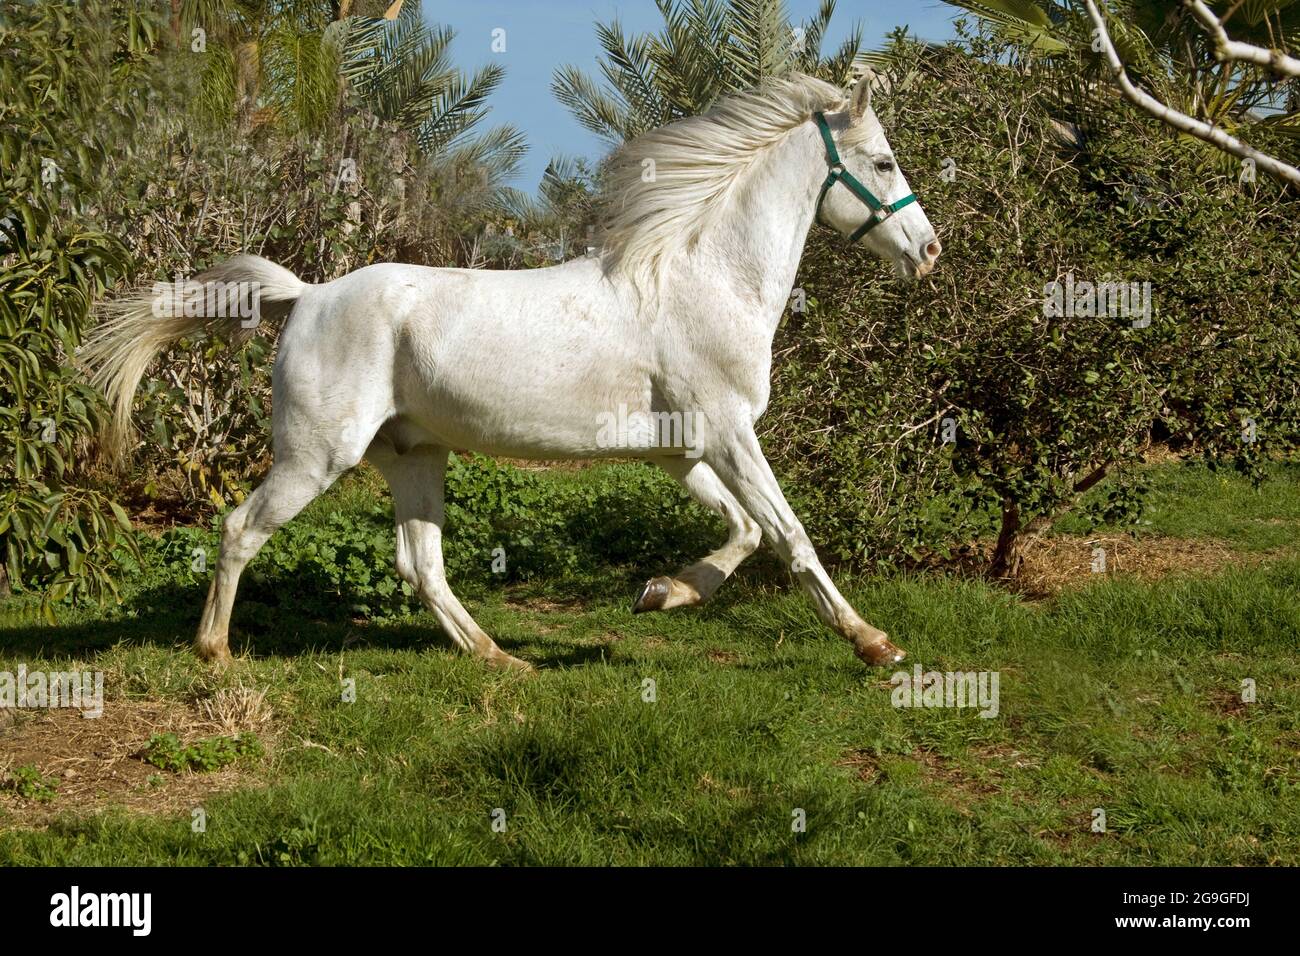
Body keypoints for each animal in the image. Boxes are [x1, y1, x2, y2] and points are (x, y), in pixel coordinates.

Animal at [81, 72, 941, 671]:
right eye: (884, 160)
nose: (928, 251)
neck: (702, 280)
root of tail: (310, 294)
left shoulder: (684, 447)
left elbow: (746, 528)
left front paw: (663, 592)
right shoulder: (728, 433)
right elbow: (789, 532)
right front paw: (875, 644)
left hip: (414, 454)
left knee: (420, 565)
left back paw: (500, 658)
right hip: (317, 456)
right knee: (240, 531)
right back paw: (215, 653)